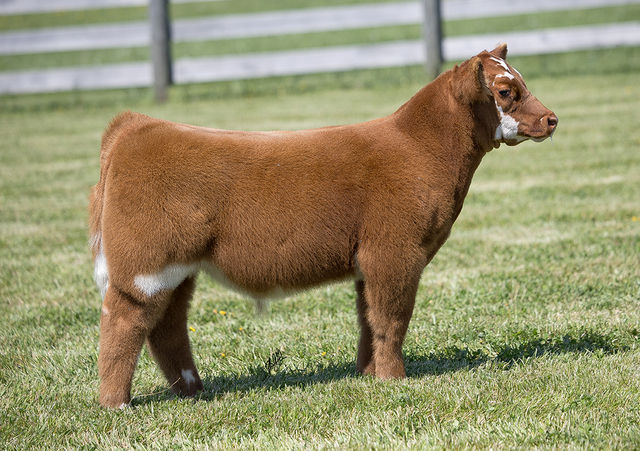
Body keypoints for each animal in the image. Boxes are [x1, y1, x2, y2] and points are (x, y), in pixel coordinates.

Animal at [89, 44, 557, 408]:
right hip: (146, 264)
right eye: (505, 91)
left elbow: (369, 318)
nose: (551, 118)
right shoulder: (395, 252)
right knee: (123, 320)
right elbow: (391, 317)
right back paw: (116, 403)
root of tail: (137, 125)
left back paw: (192, 390)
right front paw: (394, 378)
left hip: (179, 269)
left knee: (167, 326)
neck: (420, 147)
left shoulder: (368, 260)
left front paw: (368, 373)